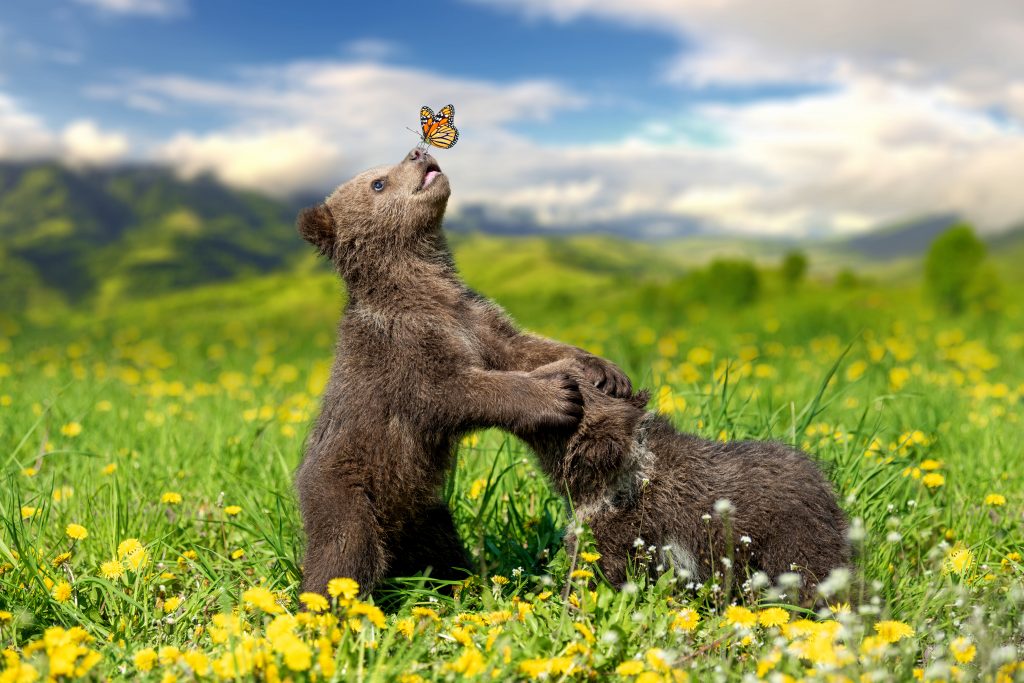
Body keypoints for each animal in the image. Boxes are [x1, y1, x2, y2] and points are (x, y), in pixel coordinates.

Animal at [295, 148, 632, 597]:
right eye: (377, 183)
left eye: (385, 169)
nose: (418, 152)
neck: (424, 290)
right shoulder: (403, 349)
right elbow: (449, 391)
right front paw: (556, 396)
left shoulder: (476, 320)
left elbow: (523, 348)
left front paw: (604, 369)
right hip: (346, 489)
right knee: (343, 553)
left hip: (426, 511)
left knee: (442, 549)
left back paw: (461, 584)